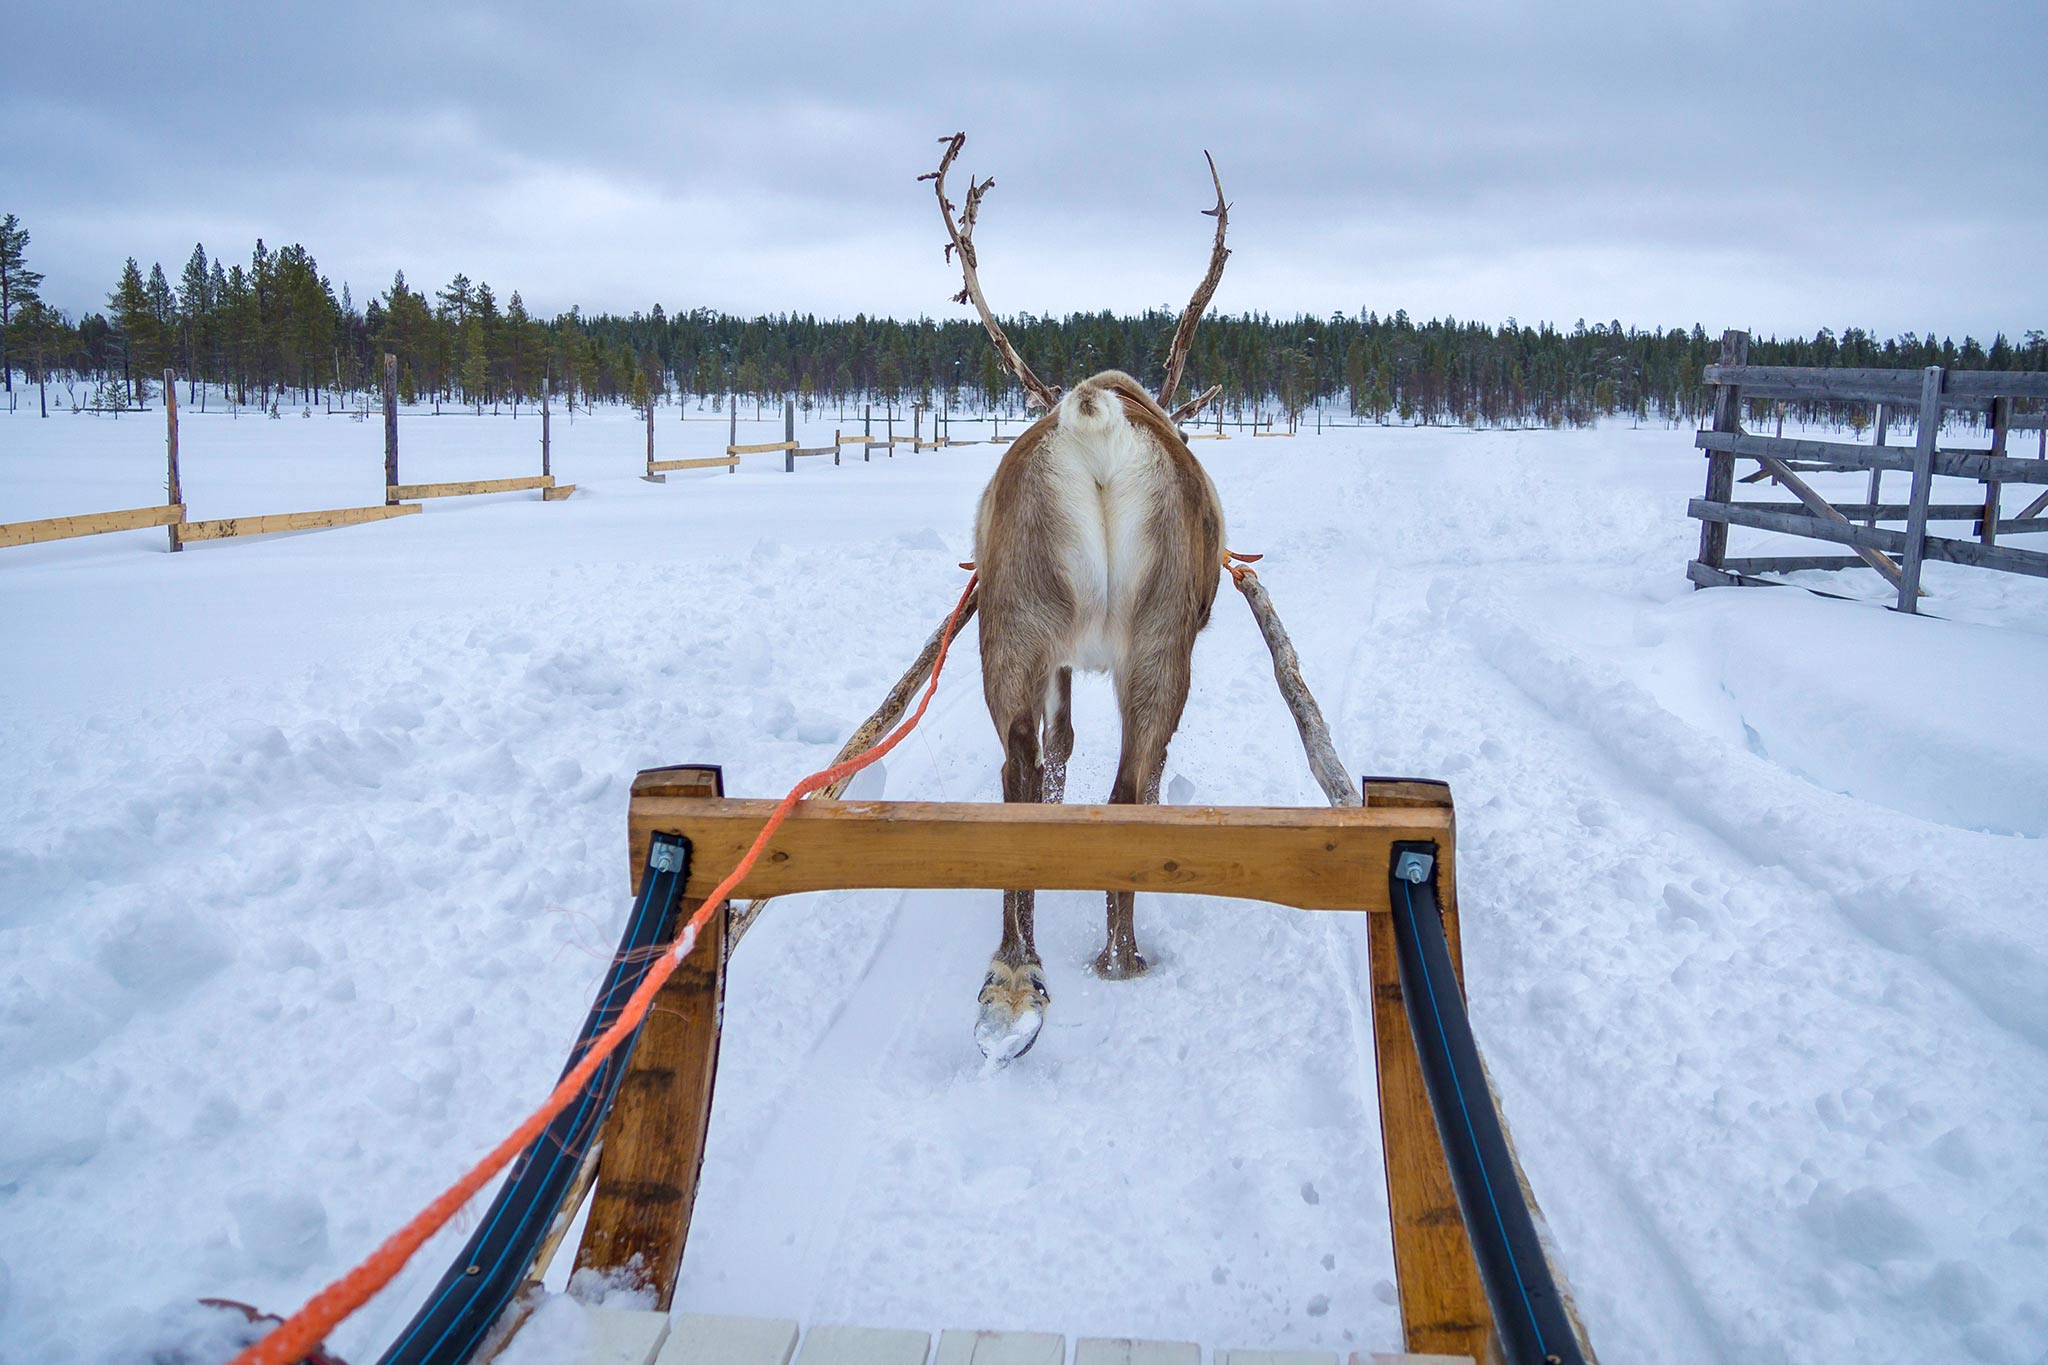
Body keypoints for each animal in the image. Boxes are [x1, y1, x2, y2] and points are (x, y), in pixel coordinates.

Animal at [922, 132, 1234, 1064]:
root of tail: (1094, 421)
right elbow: (1116, 768)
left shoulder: (1059, 653)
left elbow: (1059, 749)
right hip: (1161, 636)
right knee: (1126, 787)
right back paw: (1120, 957)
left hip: (1013, 619)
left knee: (1019, 769)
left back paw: (1016, 971)